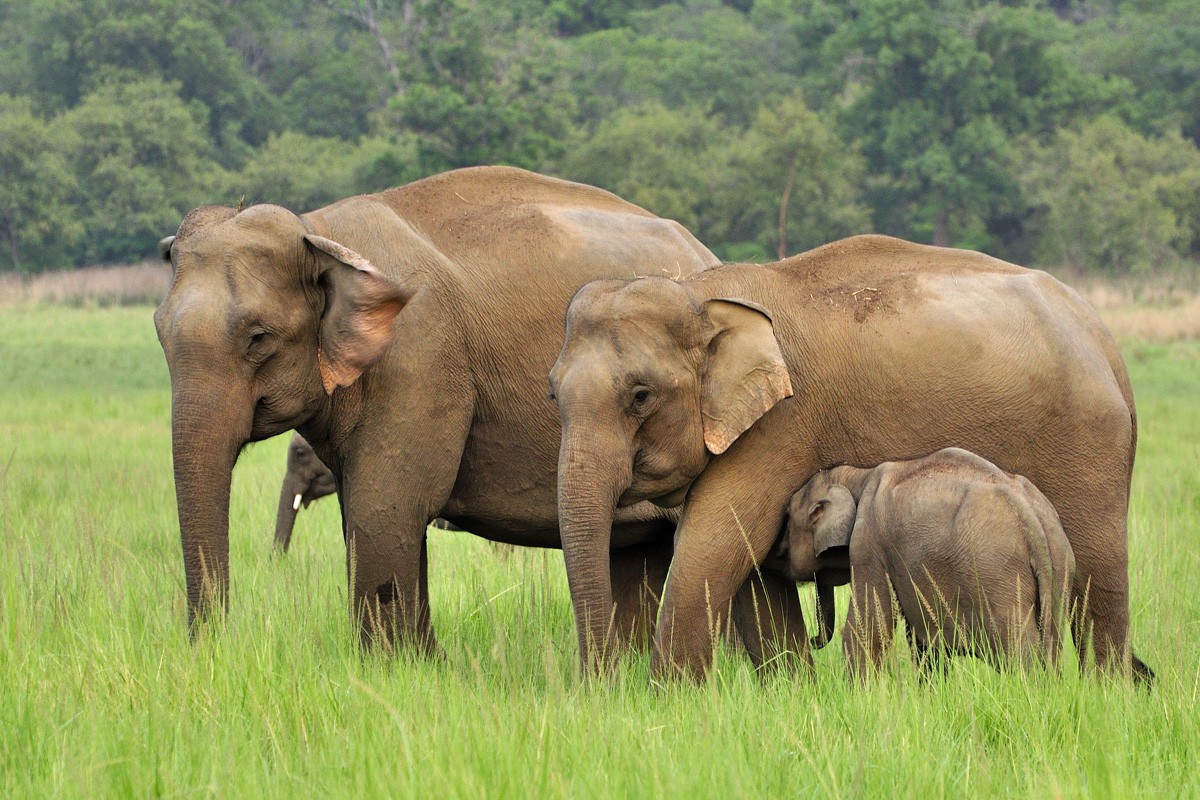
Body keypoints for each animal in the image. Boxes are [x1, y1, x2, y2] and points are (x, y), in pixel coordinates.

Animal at [152, 165, 720, 652]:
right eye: (158, 331)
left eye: (258, 337)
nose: (212, 649)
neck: (318, 230)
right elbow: (370, 511)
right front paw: (424, 663)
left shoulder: (418, 356)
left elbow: (383, 509)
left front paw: (396, 666)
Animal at [768, 448, 1080, 681]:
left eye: (788, 517)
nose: (812, 638)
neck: (857, 474)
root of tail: (1032, 519)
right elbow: (924, 641)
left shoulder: (869, 542)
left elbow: (868, 630)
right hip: (1060, 567)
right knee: (1051, 646)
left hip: (998, 574)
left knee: (1018, 650)